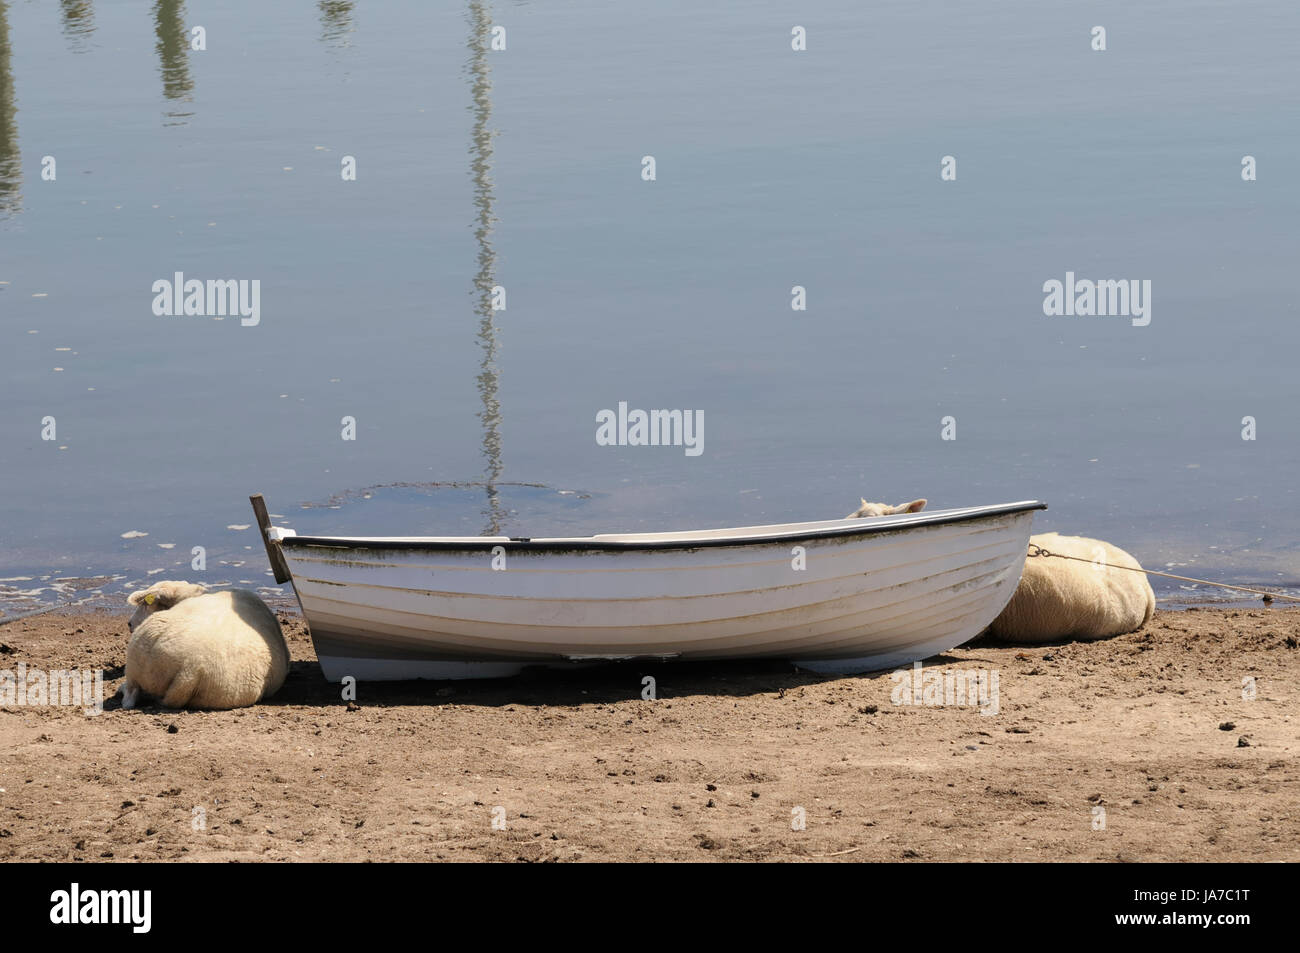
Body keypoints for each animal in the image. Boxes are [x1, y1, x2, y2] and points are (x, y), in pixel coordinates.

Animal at [120, 580, 290, 710]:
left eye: (145, 604)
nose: (129, 624)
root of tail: (190, 669)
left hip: (134, 663)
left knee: (129, 697)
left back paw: (122, 688)